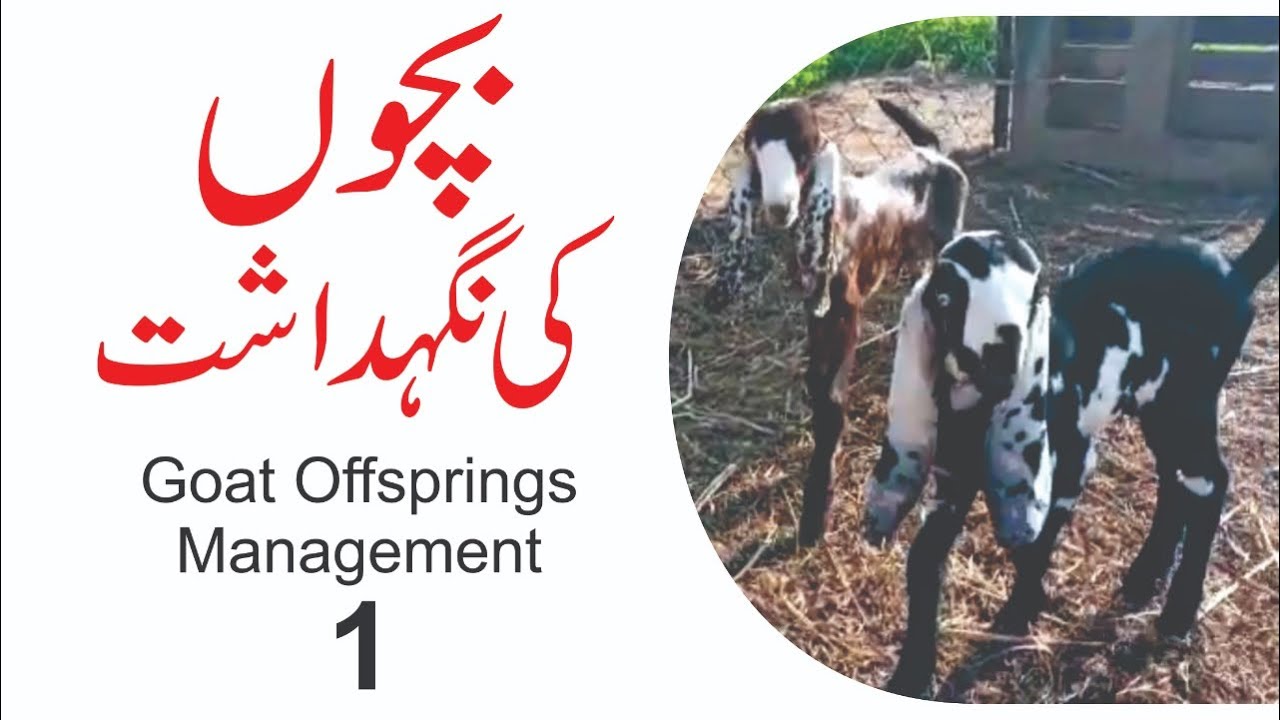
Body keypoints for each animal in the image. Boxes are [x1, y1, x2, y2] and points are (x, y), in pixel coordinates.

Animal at [707, 98, 969, 547]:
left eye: (806, 150)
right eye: (753, 150)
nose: (779, 207)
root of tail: (933, 153)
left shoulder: (845, 311)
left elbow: (830, 402)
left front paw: (815, 515)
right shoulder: (816, 311)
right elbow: (816, 380)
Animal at [862, 207, 1279, 698]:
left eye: (1034, 295)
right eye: (946, 297)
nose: (1006, 361)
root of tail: (1237, 273)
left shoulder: (1070, 466)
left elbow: (1035, 545)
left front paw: (1017, 616)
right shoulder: (951, 483)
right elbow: (924, 559)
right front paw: (910, 675)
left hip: (1186, 408)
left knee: (1210, 484)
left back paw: (1177, 614)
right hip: (1157, 409)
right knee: (1173, 482)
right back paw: (1145, 576)